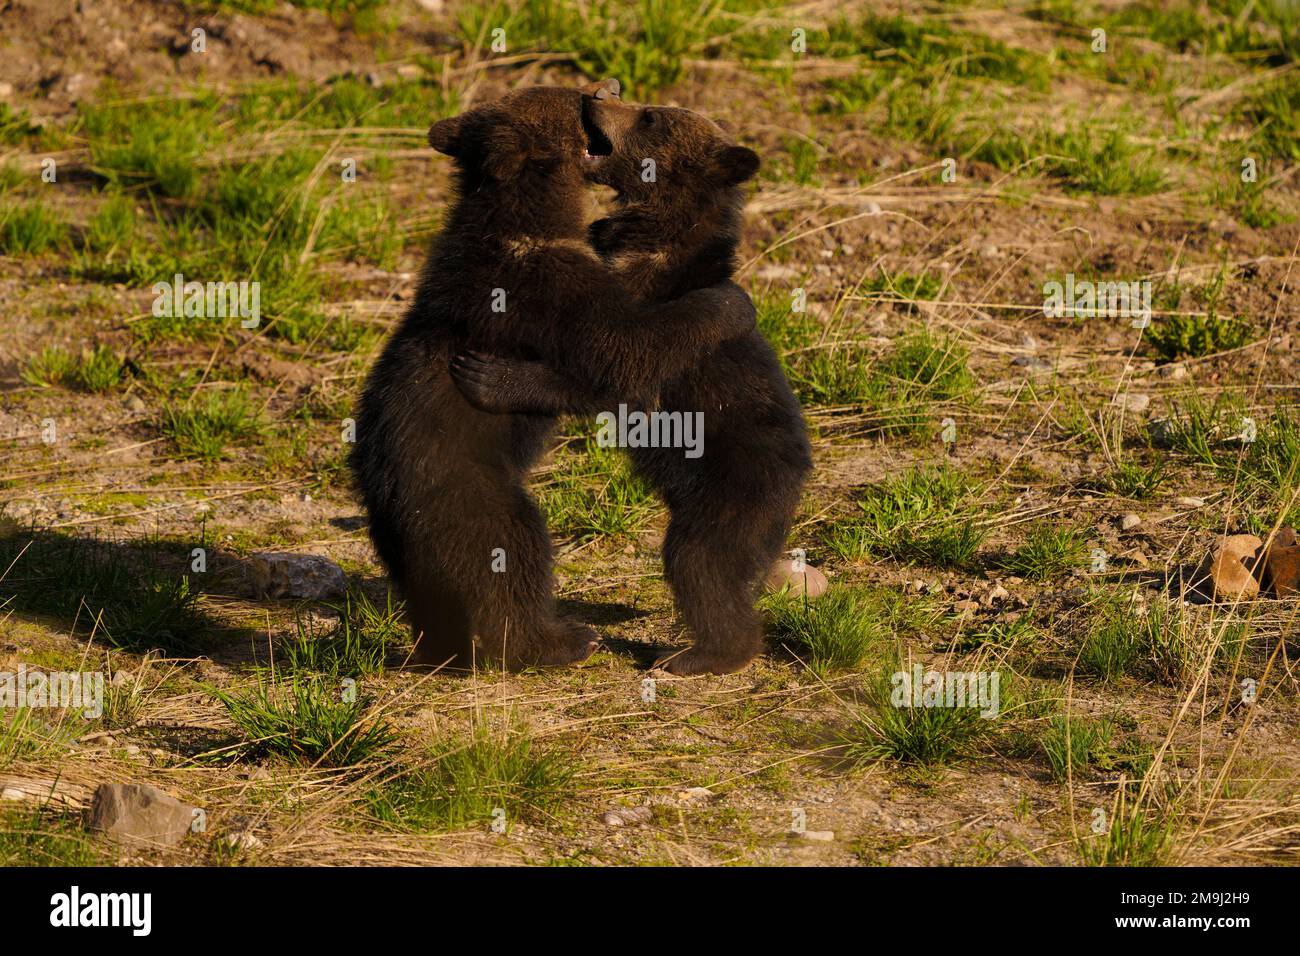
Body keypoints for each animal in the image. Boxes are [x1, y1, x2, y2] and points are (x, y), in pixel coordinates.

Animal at [350, 85, 758, 671]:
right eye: (570, 99)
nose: (602, 88)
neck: (532, 215)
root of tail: (386, 491)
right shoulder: (543, 284)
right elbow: (623, 343)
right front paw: (732, 303)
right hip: (471, 494)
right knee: (514, 552)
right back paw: (559, 640)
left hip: (396, 538)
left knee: (430, 597)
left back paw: (442, 651)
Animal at [450, 88, 813, 675]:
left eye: (650, 117)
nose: (600, 93)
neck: (651, 232)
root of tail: (797, 484)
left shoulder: (652, 322)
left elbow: (613, 370)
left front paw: (491, 376)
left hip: (734, 492)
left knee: (700, 564)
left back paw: (699, 654)